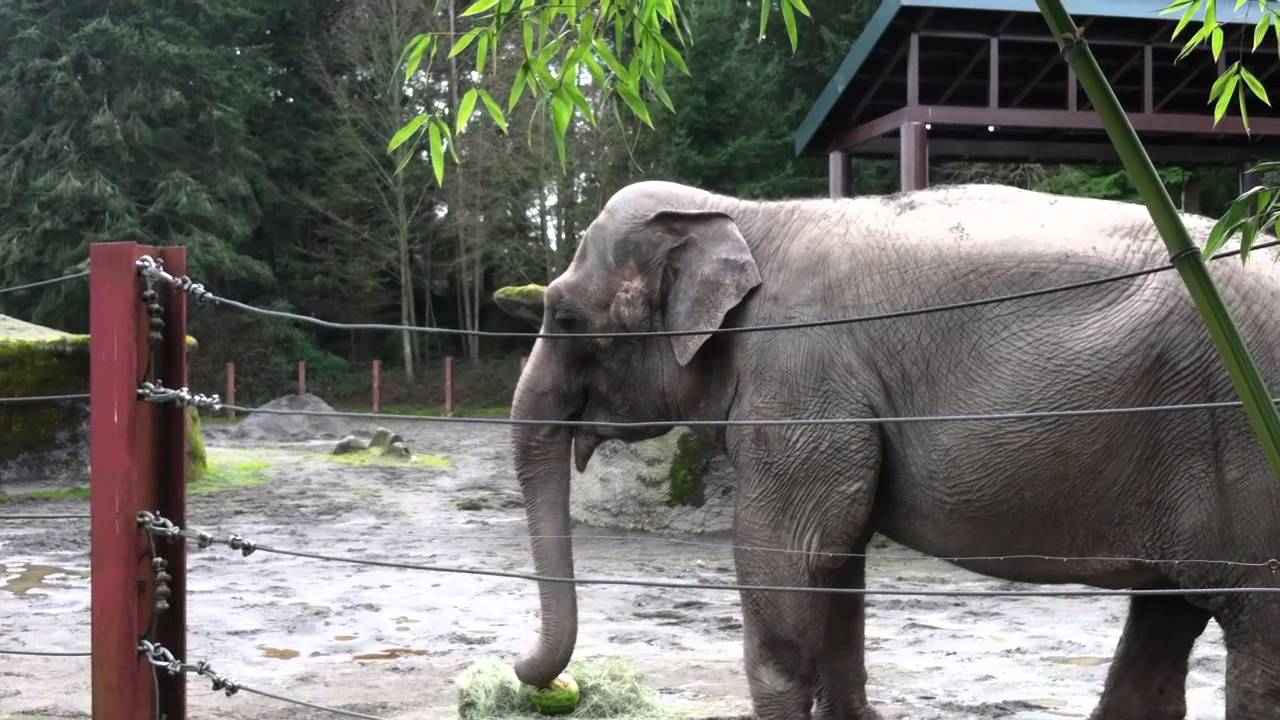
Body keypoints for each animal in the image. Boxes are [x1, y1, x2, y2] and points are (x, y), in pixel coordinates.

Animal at [505, 180, 1280, 719]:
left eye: (563, 316)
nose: (521, 668)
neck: (743, 213)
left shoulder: (801, 372)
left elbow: (789, 559)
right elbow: (836, 565)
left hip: (1244, 441)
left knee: (1253, 633)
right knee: (1165, 619)